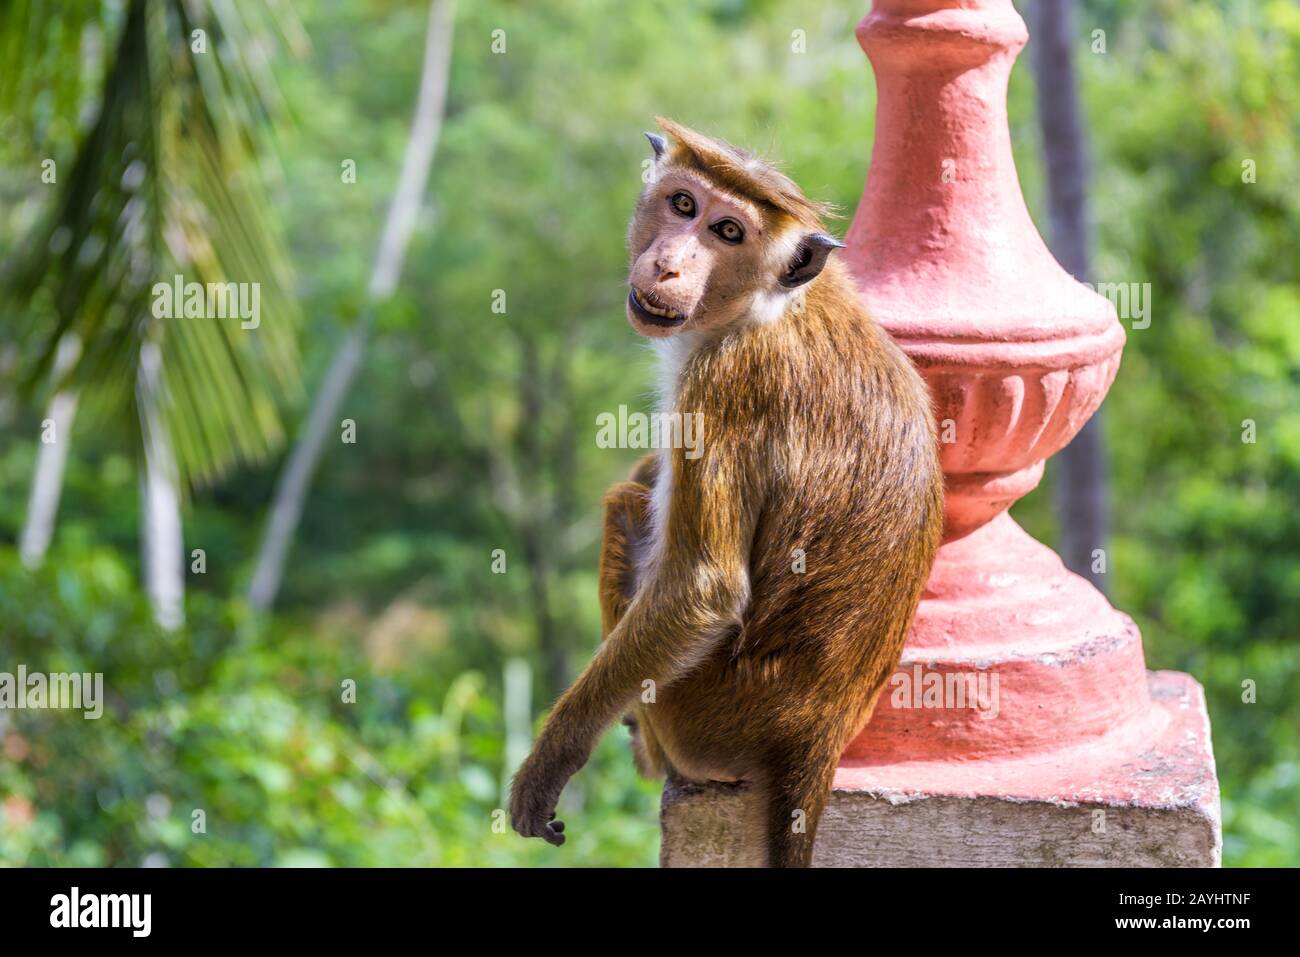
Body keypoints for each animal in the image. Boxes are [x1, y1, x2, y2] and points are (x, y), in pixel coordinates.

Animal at [509, 117, 943, 867]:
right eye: (683, 205)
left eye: (728, 232)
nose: (668, 265)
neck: (768, 304)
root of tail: (816, 737)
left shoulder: (723, 383)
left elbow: (701, 589)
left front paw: (555, 753)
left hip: (700, 720)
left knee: (623, 511)